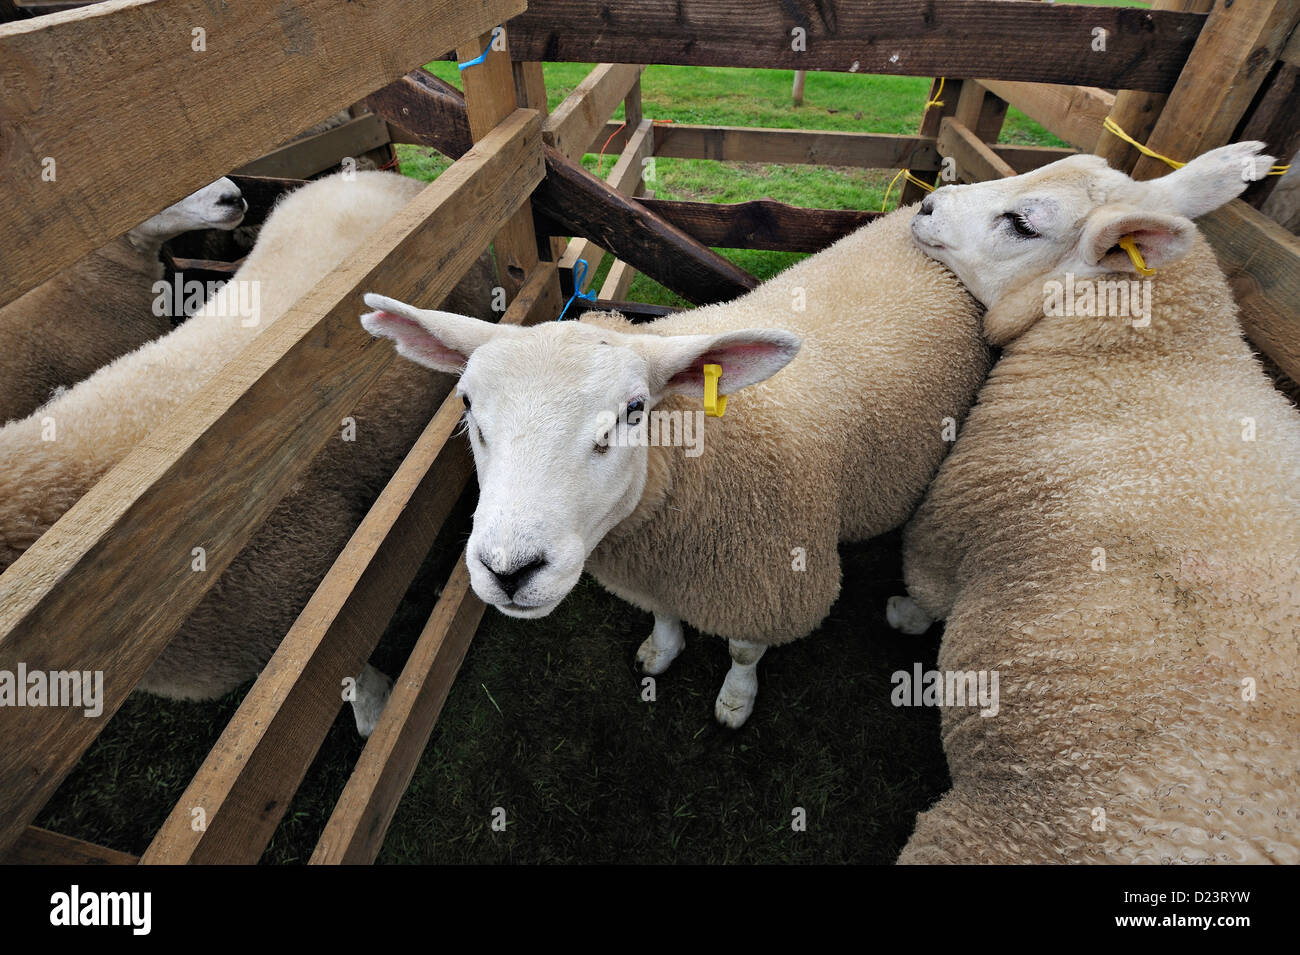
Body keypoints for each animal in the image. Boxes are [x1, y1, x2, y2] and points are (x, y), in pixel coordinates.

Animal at [359, 204, 993, 728]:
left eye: (635, 410)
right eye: (466, 404)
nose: (509, 571)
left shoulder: (773, 587)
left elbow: (743, 651)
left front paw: (735, 700)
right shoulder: (655, 572)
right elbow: (664, 616)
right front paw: (661, 651)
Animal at [892, 142, 1300, 863]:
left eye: (1023, 224)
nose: (931, 203)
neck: (1150, 357)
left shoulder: (947, 523)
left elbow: (926, 590)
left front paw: (902, 616)